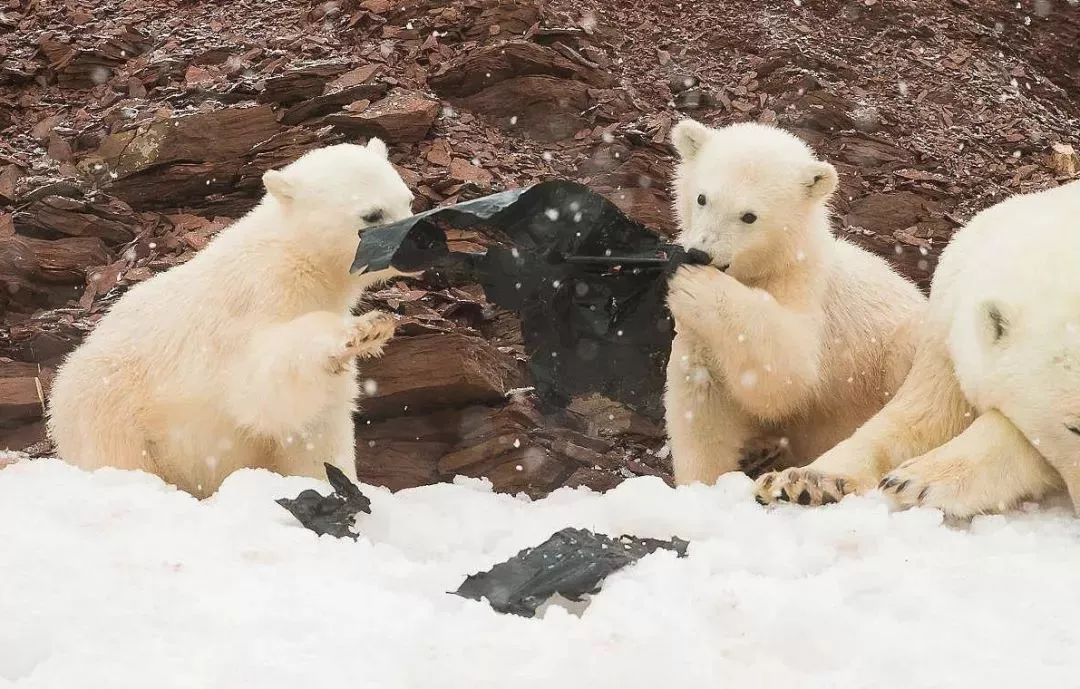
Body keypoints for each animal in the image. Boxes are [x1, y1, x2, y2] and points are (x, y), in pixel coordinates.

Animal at [45, 140, 412, 498]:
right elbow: (265, 382)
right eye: (372, 214)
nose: (419, 239)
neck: (298, 261)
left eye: (408, 199)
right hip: (110, 406)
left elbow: (318, 422)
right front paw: (362, 330)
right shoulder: (253, 303)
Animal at [660, 121, 924, 494]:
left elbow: (788, 370)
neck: (773, 264)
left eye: (749, 216)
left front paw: (698, 285)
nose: (700, 253)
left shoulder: (807, 290)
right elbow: (702, 399)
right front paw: (701, 485)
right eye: (702, 197)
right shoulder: (699, 336)